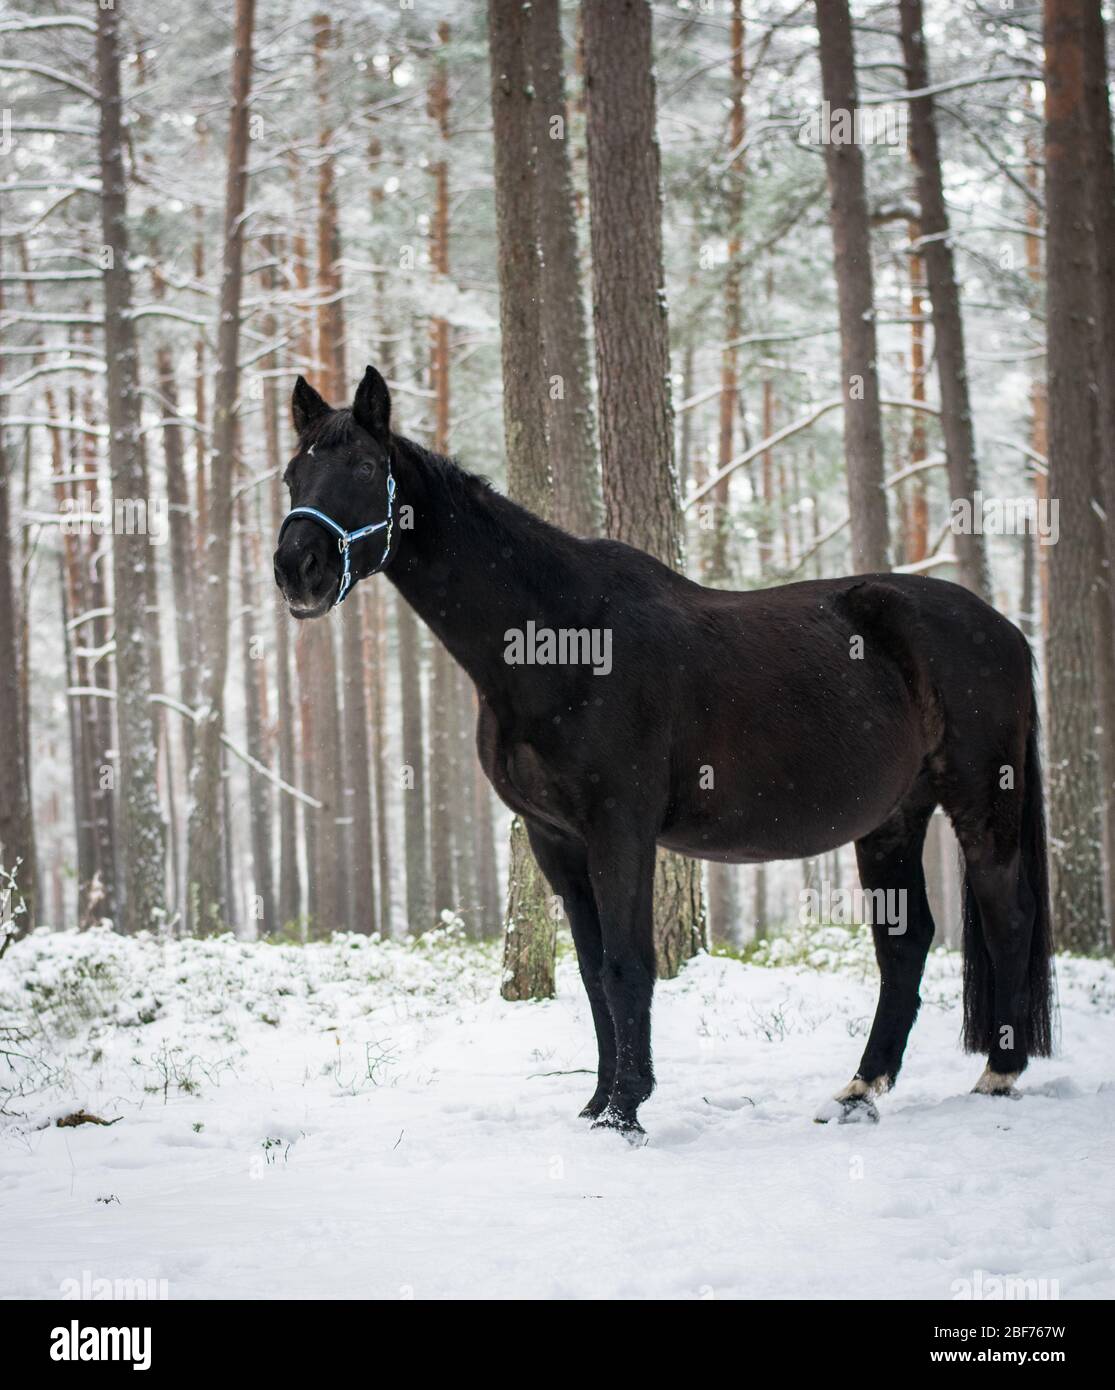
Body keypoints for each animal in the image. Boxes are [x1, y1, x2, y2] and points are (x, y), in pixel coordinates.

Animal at [273, 366, 1054, 1136]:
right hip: (892, 819)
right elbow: (592, 971)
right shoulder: (554, 838)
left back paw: (998, 1075)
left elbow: (627, 964)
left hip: (981, 801)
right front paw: (597, 1103)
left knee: (1007, 915)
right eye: (291, 474)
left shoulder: (621, 829)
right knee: (905, 944)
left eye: (366, 468)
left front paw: (625, 1112)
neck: (560, 641)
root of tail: (1004, 630)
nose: (297, 569)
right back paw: (859, 1092)